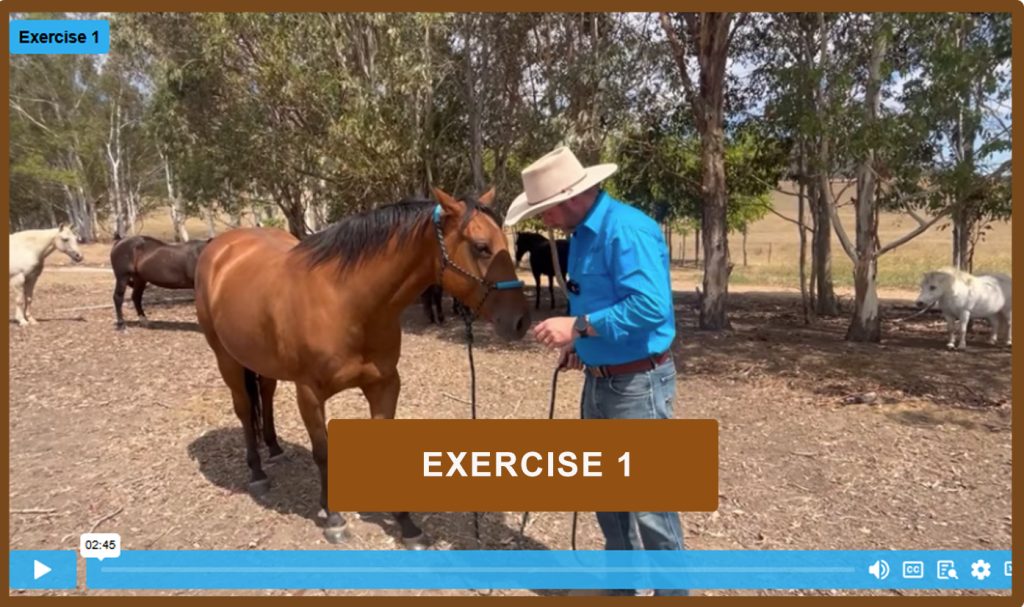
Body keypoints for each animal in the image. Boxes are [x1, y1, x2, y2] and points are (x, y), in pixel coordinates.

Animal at [194, 187, 529, 548]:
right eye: (481, 247)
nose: (520, 321)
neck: (346, 302)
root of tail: (220, 246)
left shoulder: (384, 384)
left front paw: (406, 524)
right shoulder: (309, 394)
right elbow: (323, 452)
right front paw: (334, 518)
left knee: (265, 395)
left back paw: (274, 448)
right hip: (226, 359)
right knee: (244, 409)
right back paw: (257, 472)